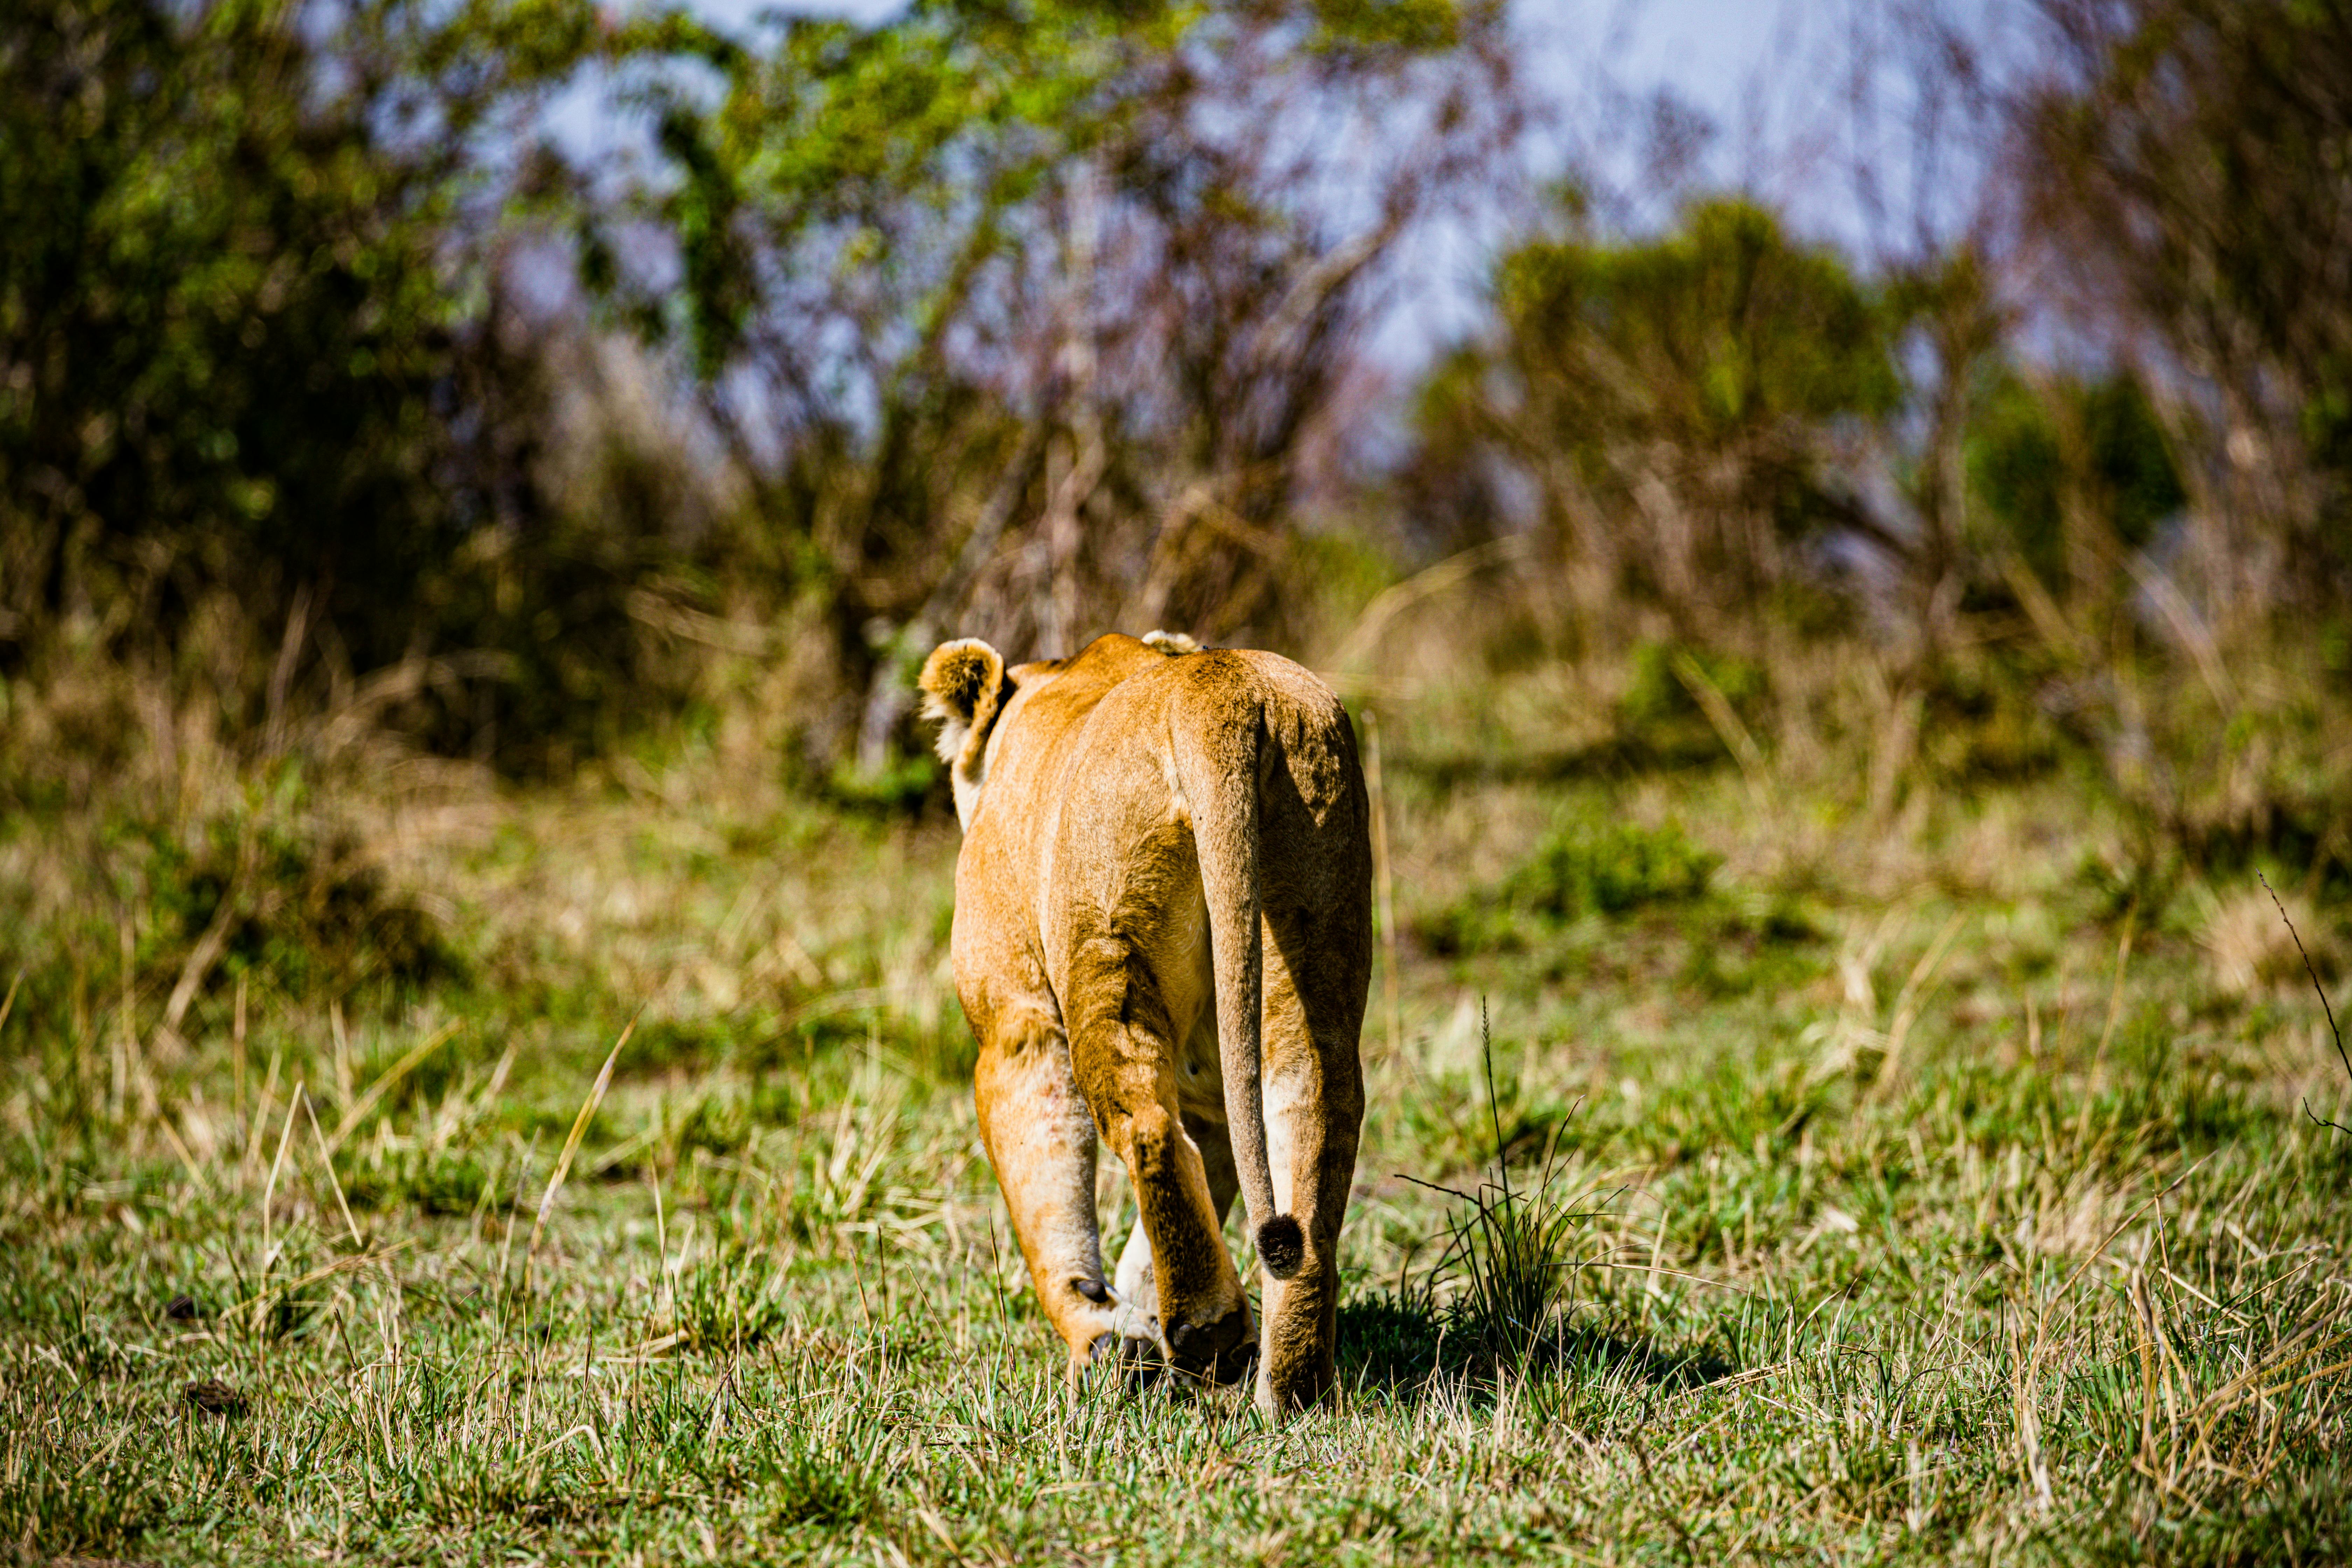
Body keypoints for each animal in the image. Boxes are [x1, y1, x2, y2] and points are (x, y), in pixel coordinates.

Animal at [918, 630, 1371, 1415]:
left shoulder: (1016, 1024)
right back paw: (1288, 1390)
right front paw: (1135, 1330)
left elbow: (1048, 1189)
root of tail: (1221, 691)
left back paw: (1208, 1328)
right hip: (1316, 921)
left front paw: (1103, 1336)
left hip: (1106, 941)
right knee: (1313, 1127)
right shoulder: (1213, 1091)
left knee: (1146, 1126)